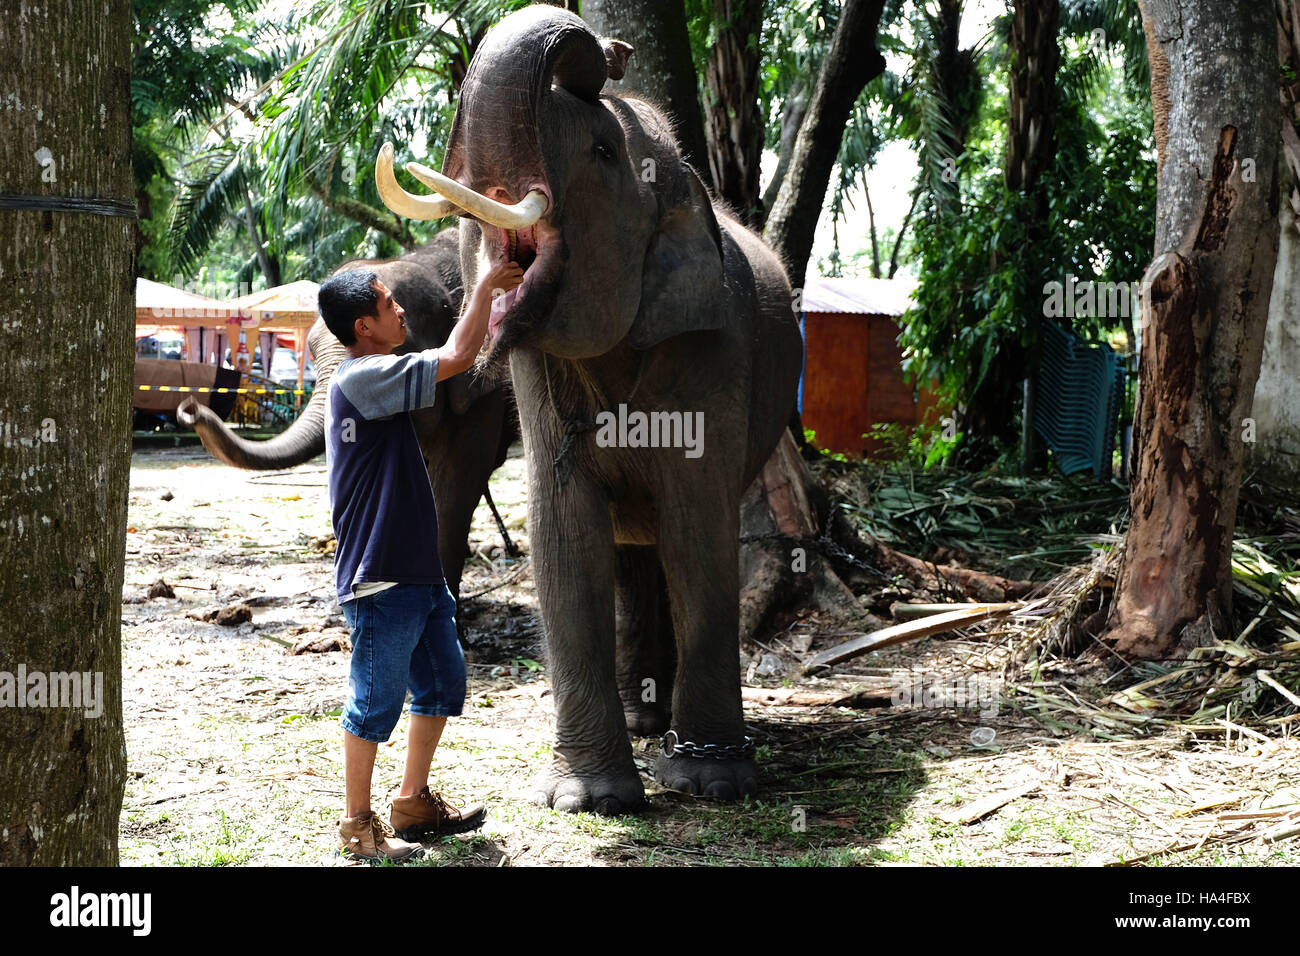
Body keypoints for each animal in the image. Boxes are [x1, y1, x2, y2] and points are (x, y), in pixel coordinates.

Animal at [177, 226, 519, 601]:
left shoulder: (485, 395)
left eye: (400, 350)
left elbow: (461, 478)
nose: (190, 409)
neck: (429, 262)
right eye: (311, 349)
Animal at [375, 4, 803, 814]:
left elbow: (698, 534)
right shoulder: (539, 378)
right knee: (634, 556)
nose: (612, 47)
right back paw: (643, 720)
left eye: (604, 152)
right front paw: (588, 799)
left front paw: (711, 782)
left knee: (666, 545)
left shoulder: (715, 351)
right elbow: (564, 537)